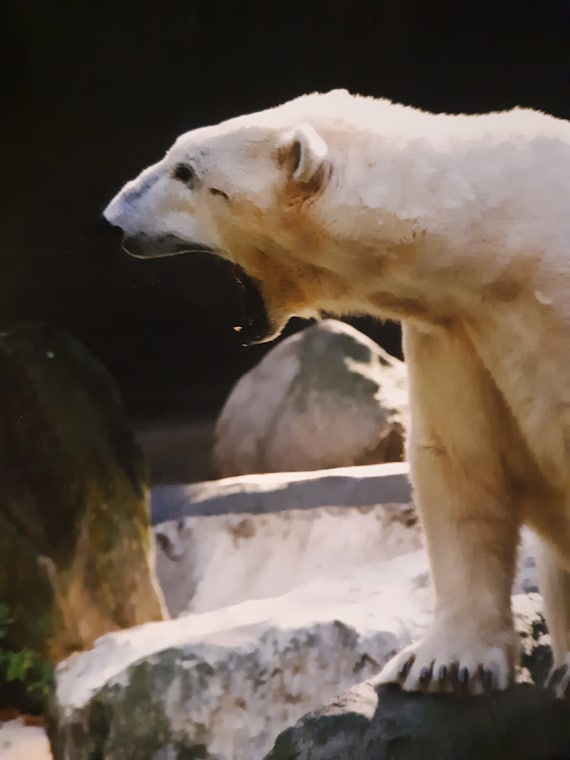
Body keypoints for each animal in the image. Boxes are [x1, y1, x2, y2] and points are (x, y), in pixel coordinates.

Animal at [104, 89, 570, 697]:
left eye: (187, 171)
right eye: (175, 154)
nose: (113, 218)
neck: (496, 248)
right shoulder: (459, 334)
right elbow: (461, 461)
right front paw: (444, 666)